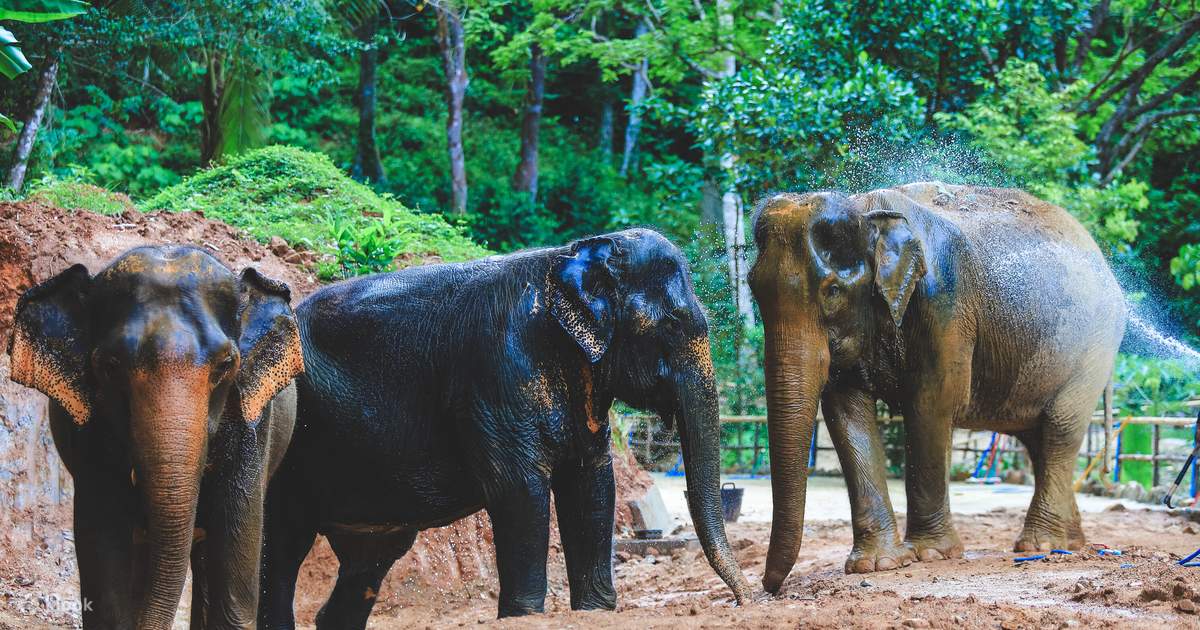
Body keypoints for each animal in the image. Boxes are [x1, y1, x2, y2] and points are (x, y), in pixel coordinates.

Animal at [6, 245, 304, 629]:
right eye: (110, 366)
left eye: (226, 365)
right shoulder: (90, 430)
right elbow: (106, 571)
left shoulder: (253, 423)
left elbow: (234, 595)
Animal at [258, 228, 753, 628]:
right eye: (672, 325)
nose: (742, 601)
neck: (571, 255)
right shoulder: (496, 371)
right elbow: (519, 487)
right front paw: (524, 616)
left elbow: (592, 481)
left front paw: (594, 611)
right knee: (284, 544)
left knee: (371, 558)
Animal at [748, 182, 1126, 591]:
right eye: (753, 289)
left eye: (832, 291)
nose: (768, 587)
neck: (866, 211)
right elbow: (846, 414)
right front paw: (876, 565)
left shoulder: (945, 302)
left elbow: (931, 403)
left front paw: (931, 555)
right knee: (1038, 443)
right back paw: (1070, 542)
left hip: (1091, 353)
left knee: (1059, 431)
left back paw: (1039, 546)